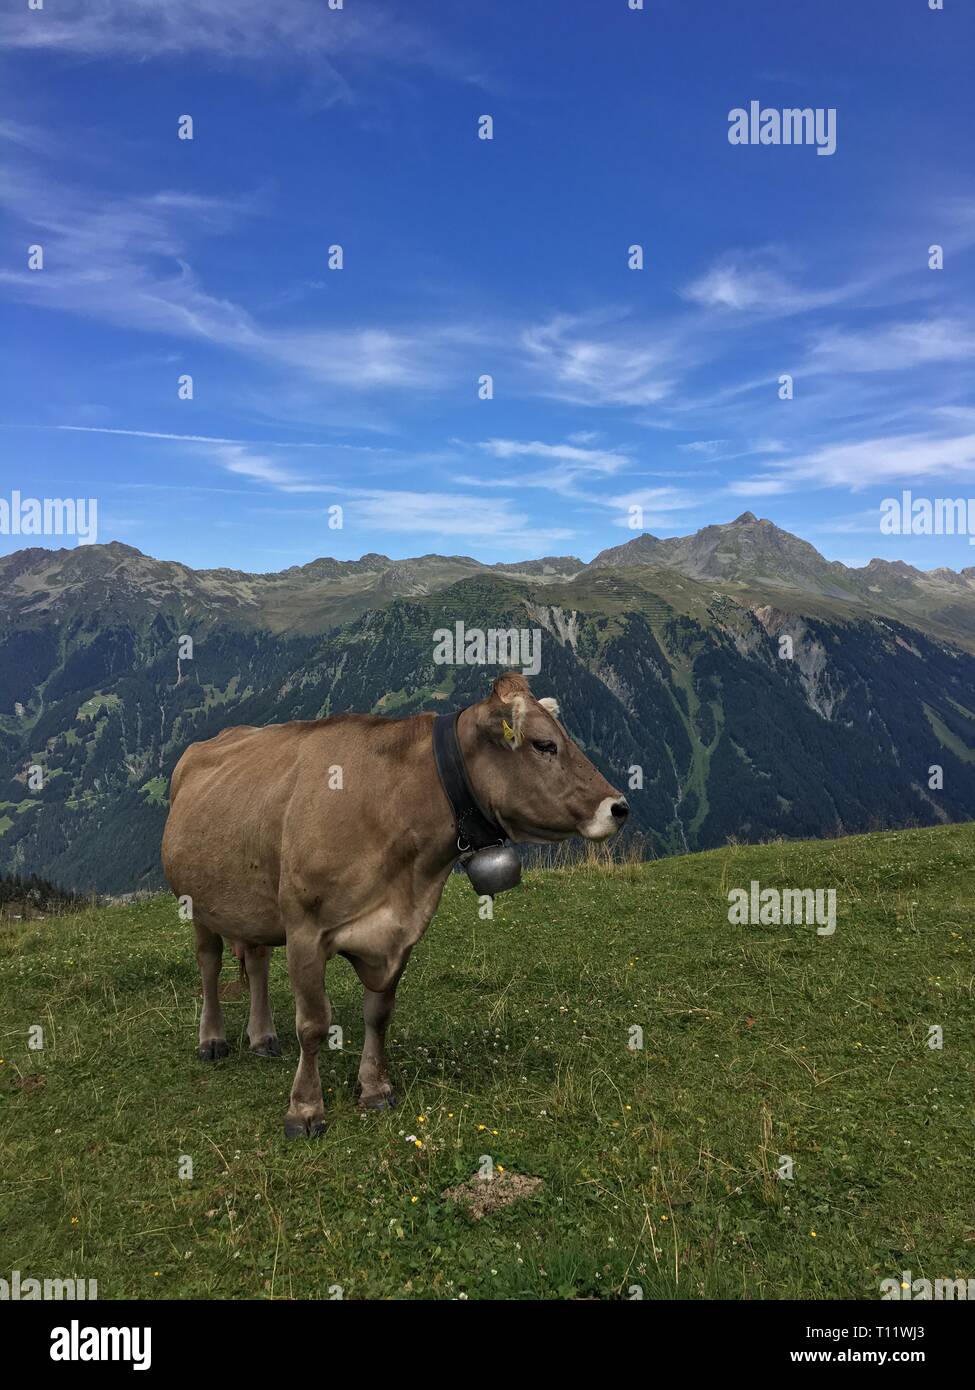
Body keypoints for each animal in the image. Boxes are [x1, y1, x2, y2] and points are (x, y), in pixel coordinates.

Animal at [161, 672, 629, 1137]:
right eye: (544, 744)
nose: (619, 807)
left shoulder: (399, 933)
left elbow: (379, 1014)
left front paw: (374, 1088)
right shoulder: (305, 931)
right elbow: (313, 1025)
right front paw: (305, 1109)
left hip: (253, 904)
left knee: (257, 959)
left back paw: (262, 1038)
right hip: (198, 902)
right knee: (209, 964)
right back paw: (212, 1040)